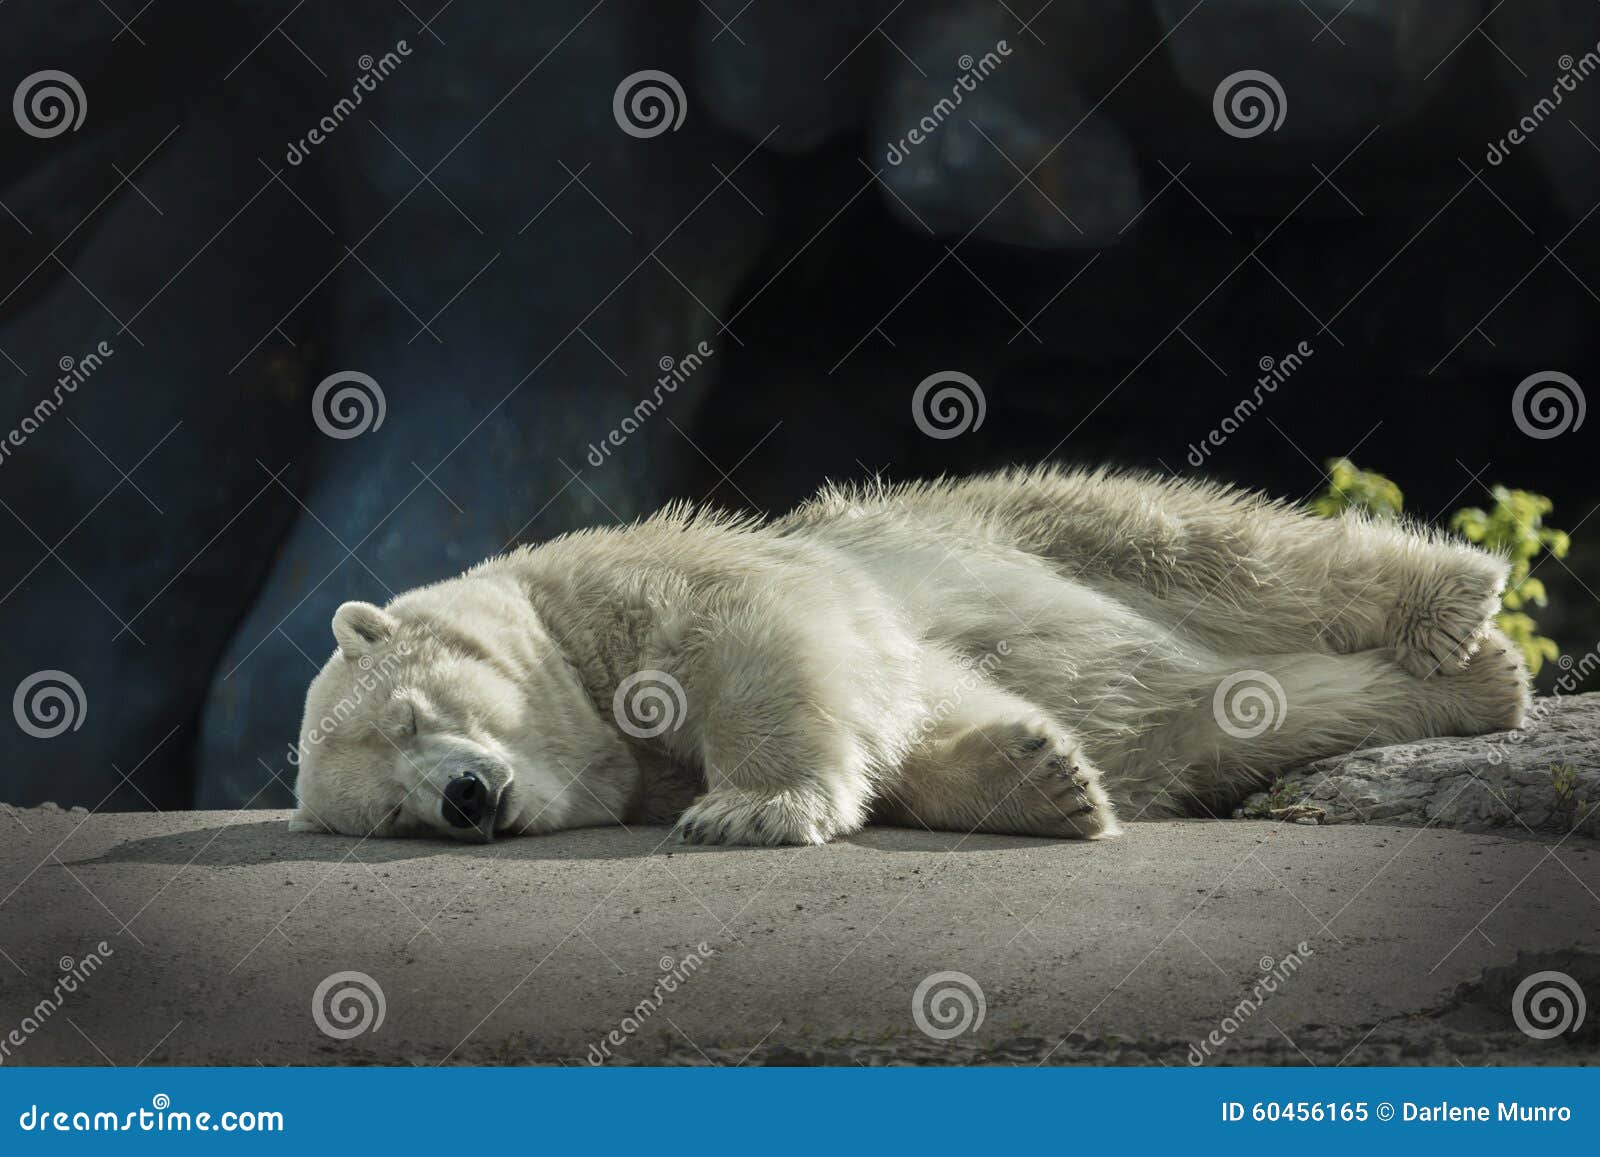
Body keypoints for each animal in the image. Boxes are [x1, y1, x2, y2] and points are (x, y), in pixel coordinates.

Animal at [288, 465, 1530, 846]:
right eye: (389, 813)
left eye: (408, 714)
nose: (461, 797)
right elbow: (912, 707)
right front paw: (1037, 778)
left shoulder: (633, 580)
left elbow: (753, 634)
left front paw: (749, 810)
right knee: (1255, 712)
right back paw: (1474, 682)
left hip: (994, 518)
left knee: (1202, 541)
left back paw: (1455, 604)